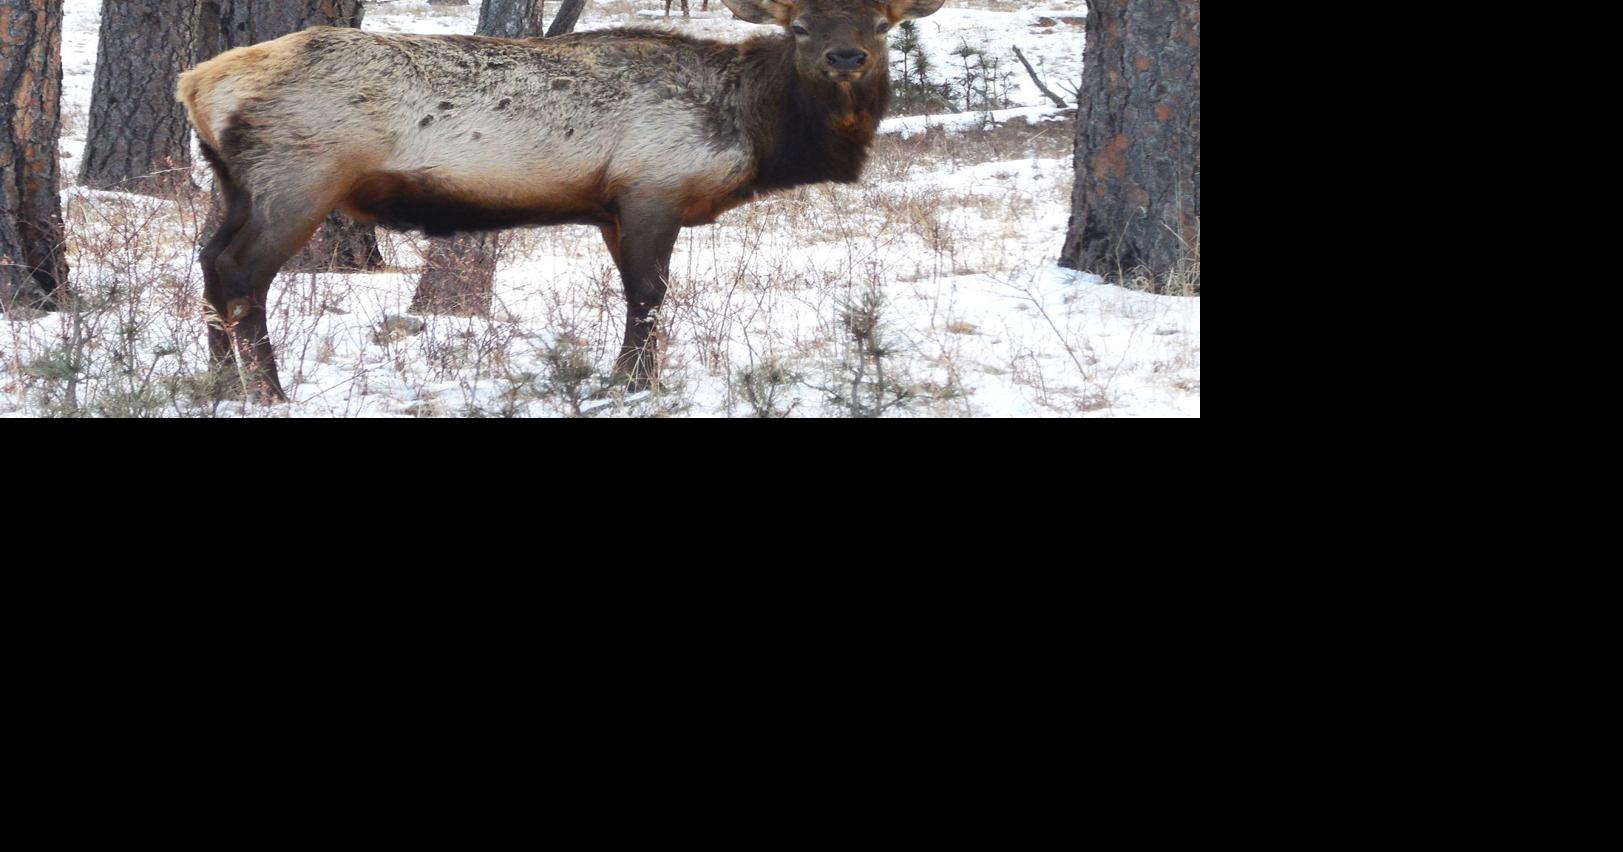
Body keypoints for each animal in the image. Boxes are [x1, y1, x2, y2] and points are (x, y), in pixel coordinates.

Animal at [178, 0, 945, 402]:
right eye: (800, 27)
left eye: (880, 25)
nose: (845, 59)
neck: (756, 132)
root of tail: (195, 82)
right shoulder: (652, 186)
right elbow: (649, 293)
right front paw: (633, 382)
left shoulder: (610, 206)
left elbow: (638, 293)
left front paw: (632, 376)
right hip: (299, 175)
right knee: (243, 273)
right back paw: (267, 393)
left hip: (238, 183)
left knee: (209, 263)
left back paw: (220, 385)